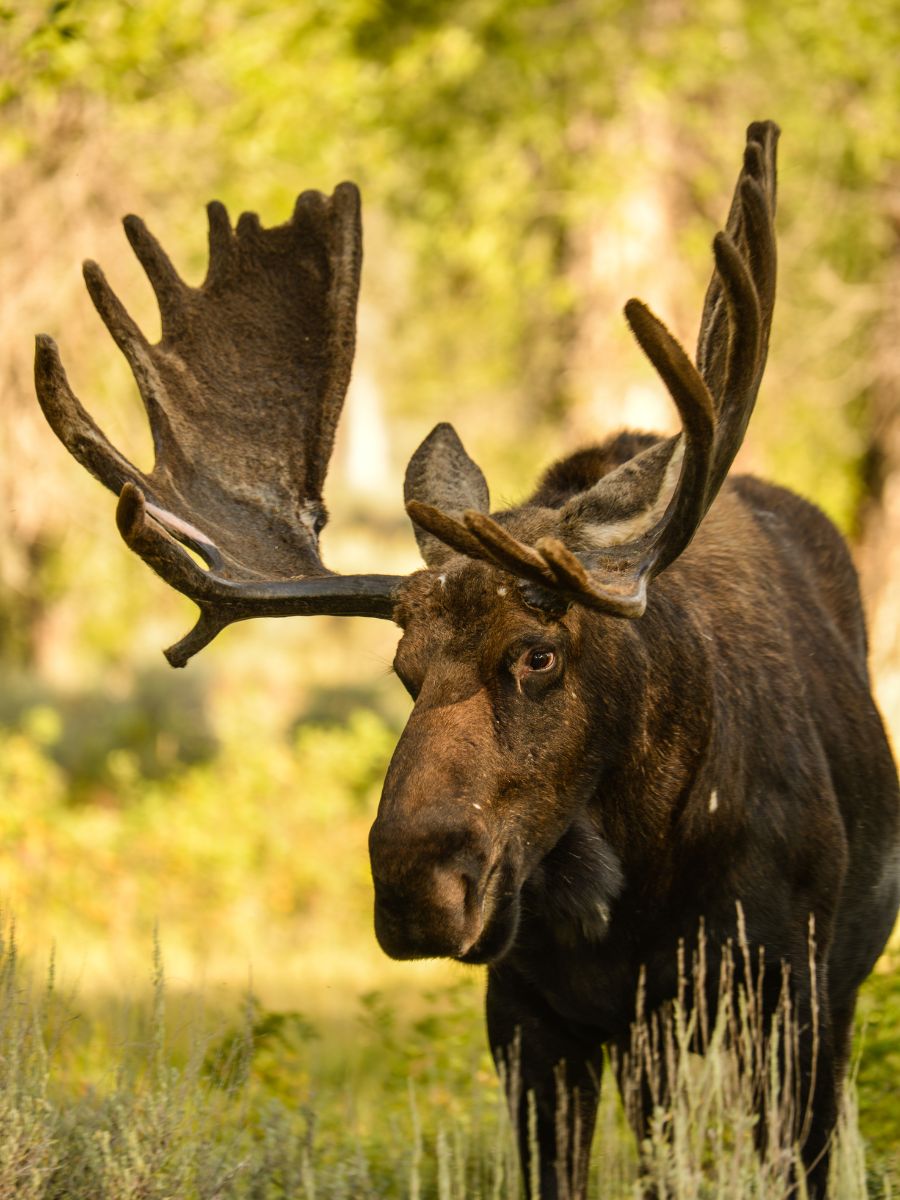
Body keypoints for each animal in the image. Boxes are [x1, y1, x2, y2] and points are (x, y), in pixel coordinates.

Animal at [35, 121, 899, 1199]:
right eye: (404, 669)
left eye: (538, 655)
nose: (415, 887)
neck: (641, 881)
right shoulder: (527, 1017)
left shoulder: (790, 997)